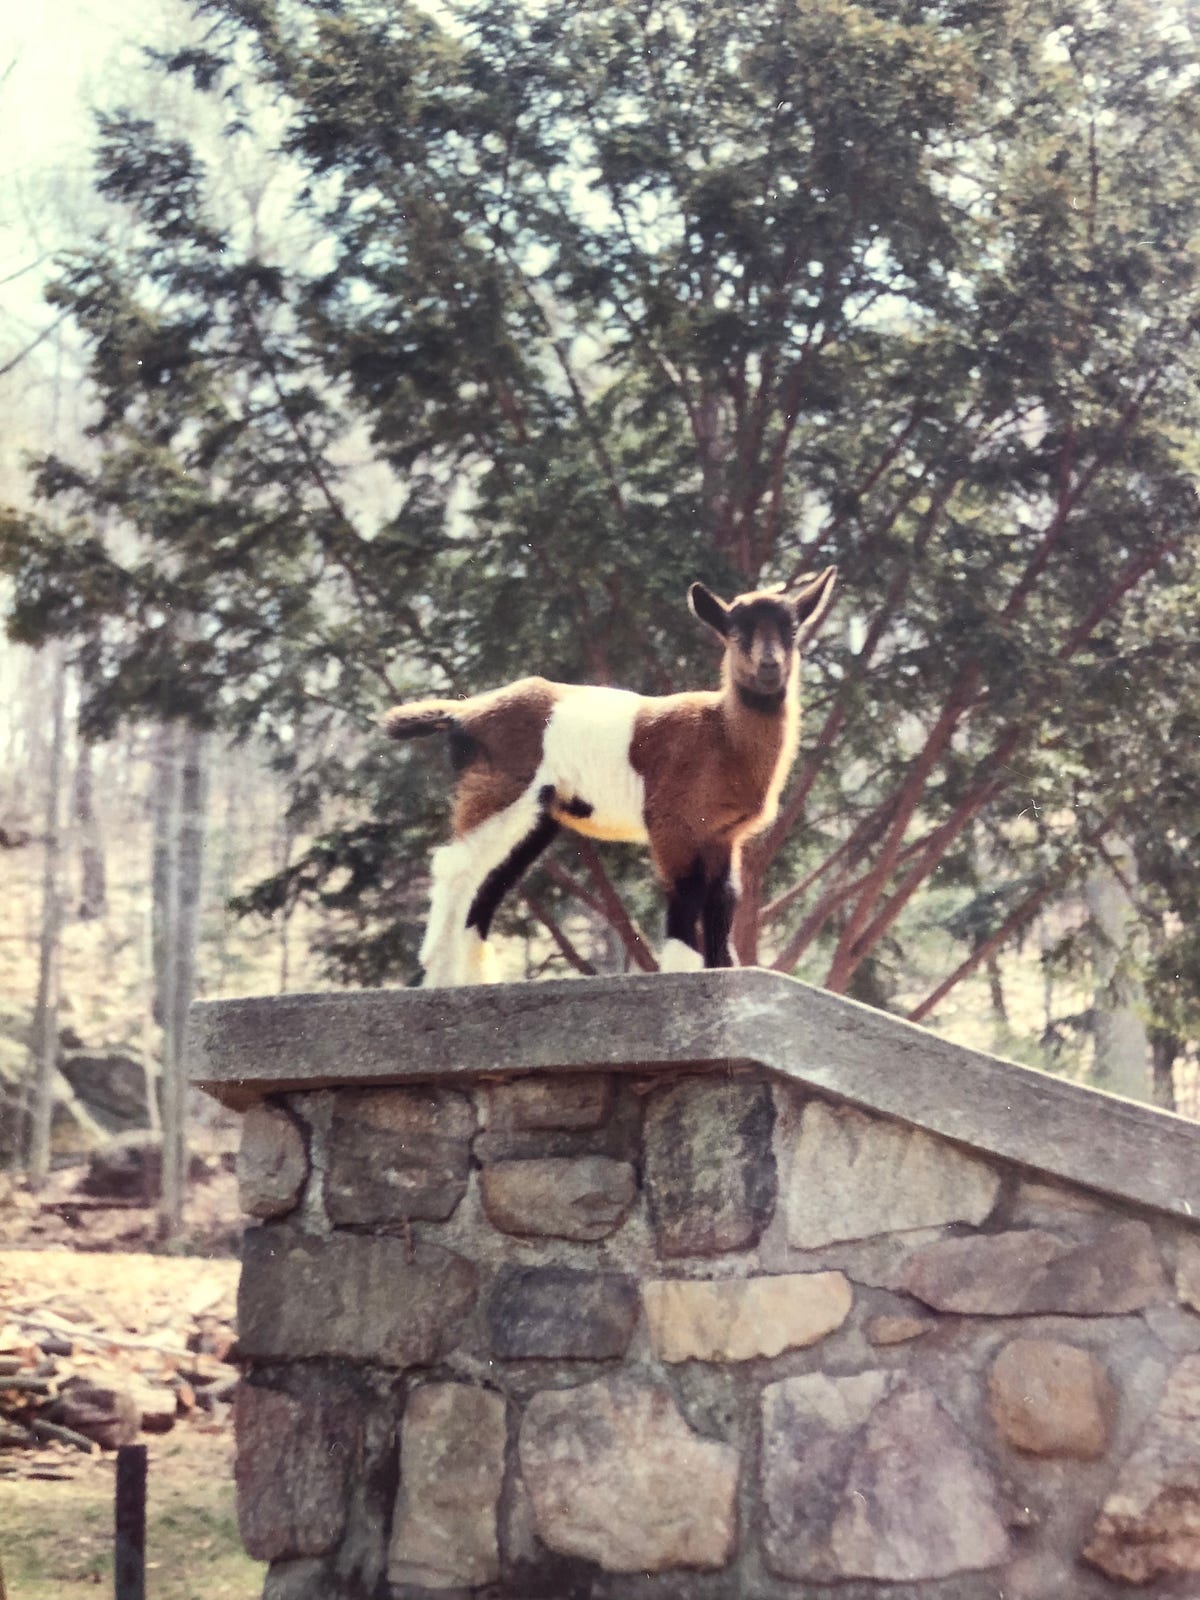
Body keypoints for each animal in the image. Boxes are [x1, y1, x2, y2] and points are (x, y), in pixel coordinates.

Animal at [382, 566, 837, 985]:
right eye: (736, 632)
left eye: (792, 630)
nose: (769, 667)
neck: (720, 734)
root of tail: (465, 713)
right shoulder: (673, 824)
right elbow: (686, 896)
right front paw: (681, 975)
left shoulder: (723, 835)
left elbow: (723, 899)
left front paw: (723, 969)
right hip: (500, 790)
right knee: (456, 866)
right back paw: (438, 975)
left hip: (538, 814)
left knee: (492, 881)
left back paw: (468, 979)